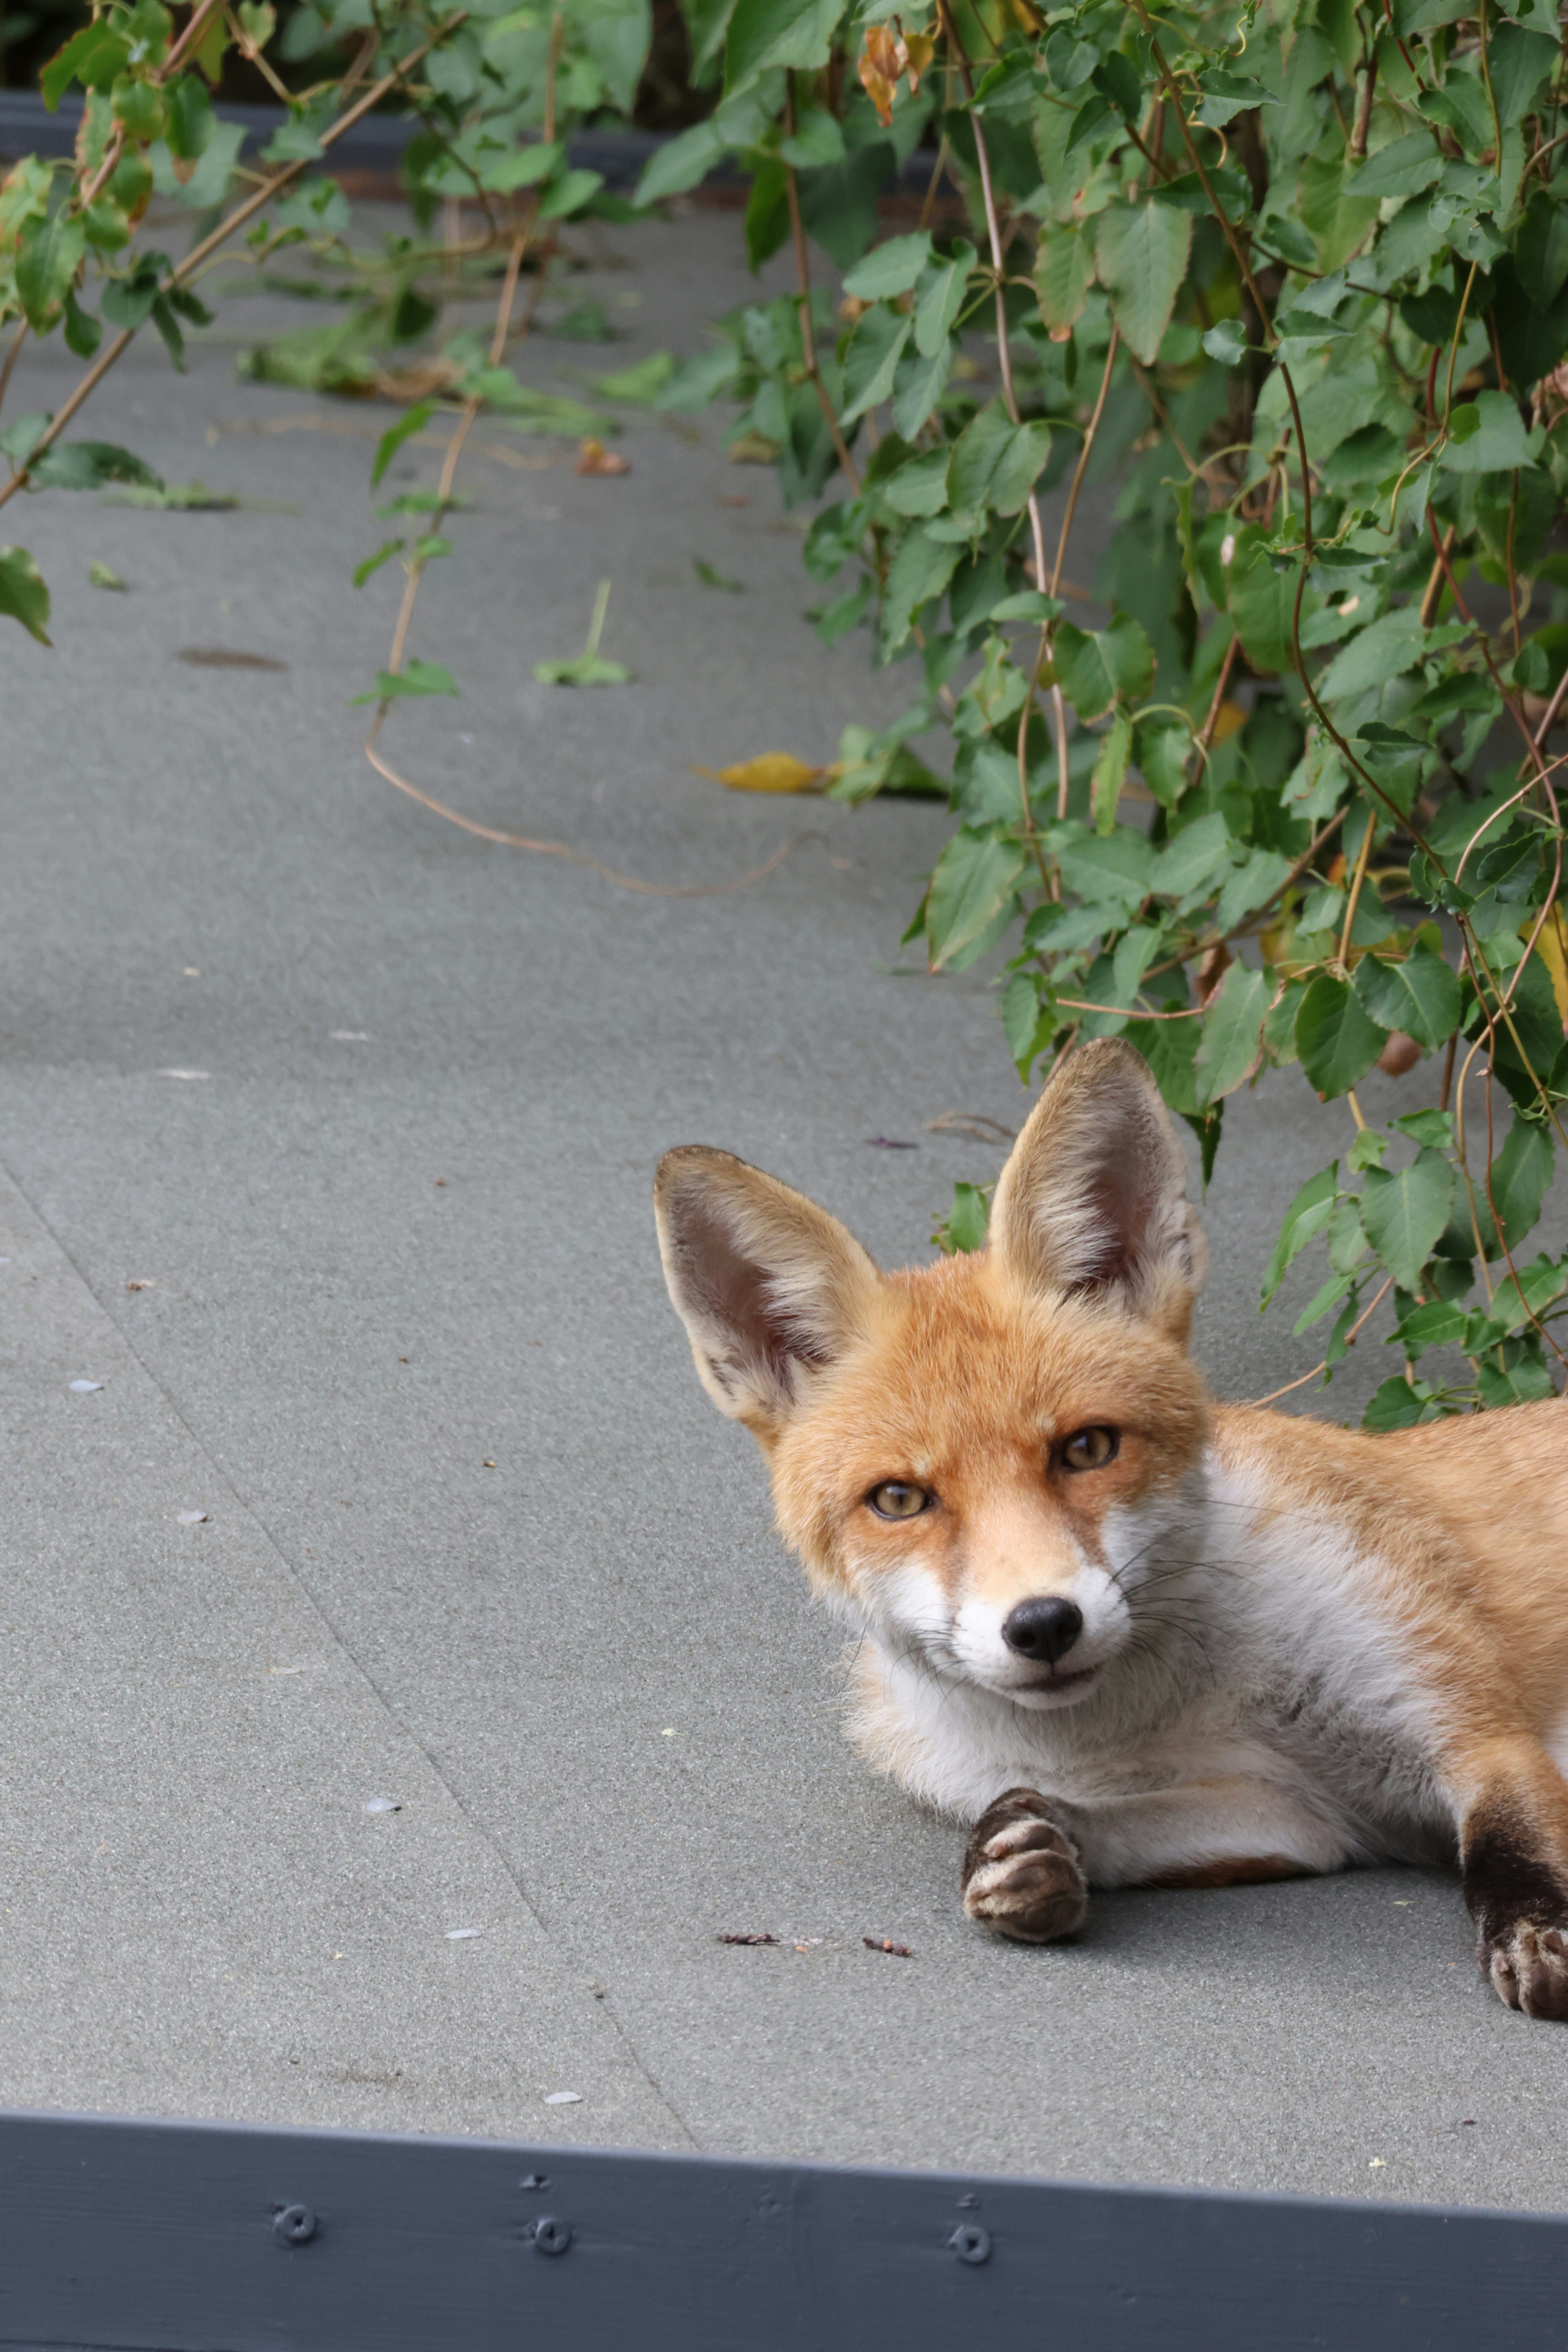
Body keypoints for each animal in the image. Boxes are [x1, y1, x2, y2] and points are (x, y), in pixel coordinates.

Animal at [654, 1037, 1568, 2021]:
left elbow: (1508, 1847)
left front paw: (1535, 1932)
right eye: (898, 1500)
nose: (1043, 1626)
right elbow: (1099, 1826)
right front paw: (1026, 1858)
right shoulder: (1293, 1813)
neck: (1173, 1711)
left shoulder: (1470, 1723)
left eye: (1086, 1448)